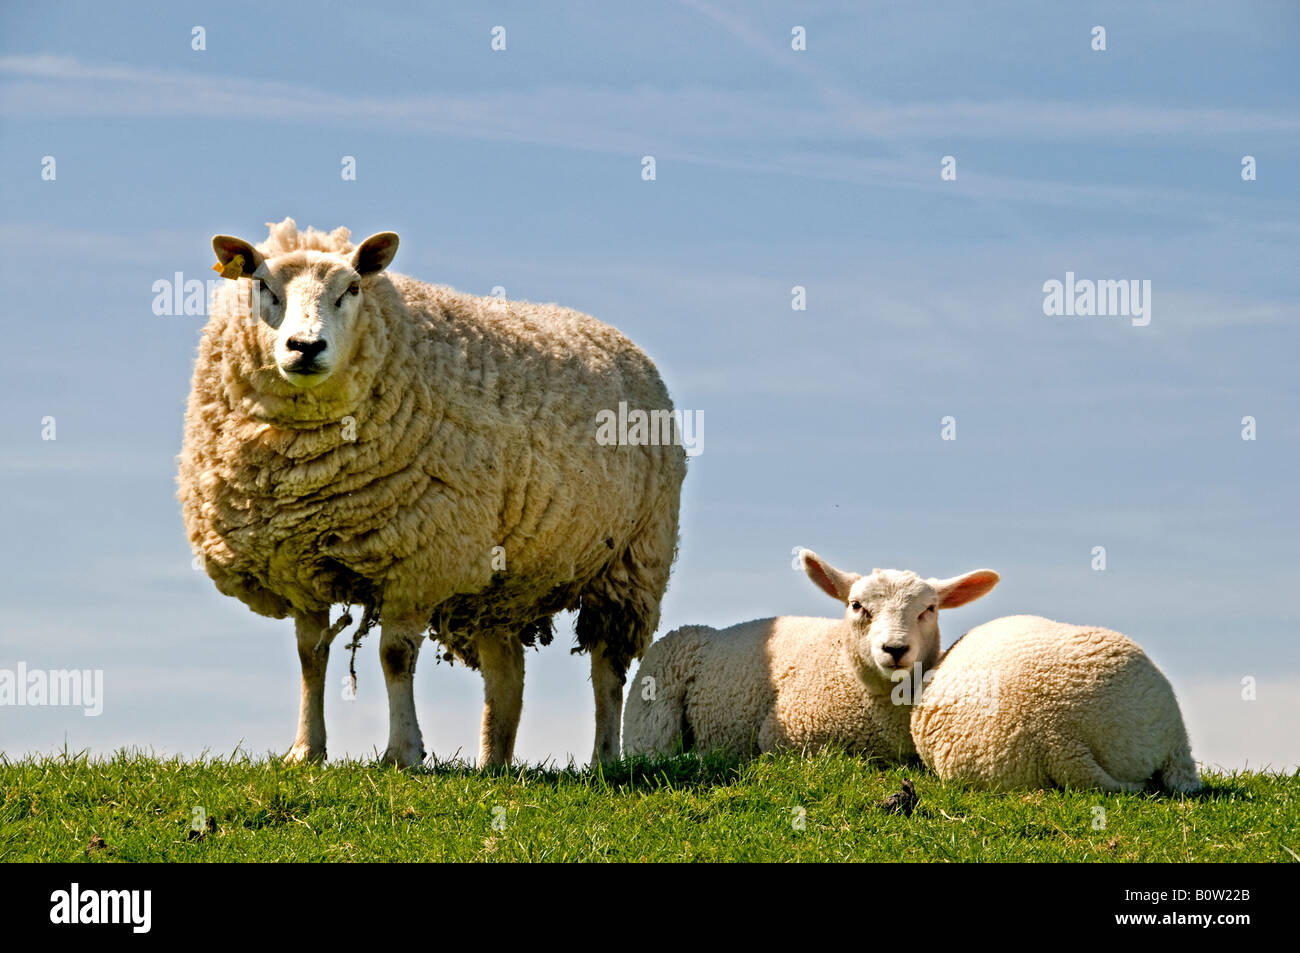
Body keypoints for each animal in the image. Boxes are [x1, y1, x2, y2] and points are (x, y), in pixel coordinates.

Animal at [178, 218, 686, 768]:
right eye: (262, 287)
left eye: (351, 289)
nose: (305, 347)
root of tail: (620, 340)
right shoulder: (298, 567)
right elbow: (310, 656)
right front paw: (306, 750)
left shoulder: (418, 558)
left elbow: (394, 656)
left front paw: (402, 752)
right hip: (501, 584)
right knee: (507, 678)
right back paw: (493, 765)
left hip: (631, 560)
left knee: (607, 670)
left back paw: (604, 760)